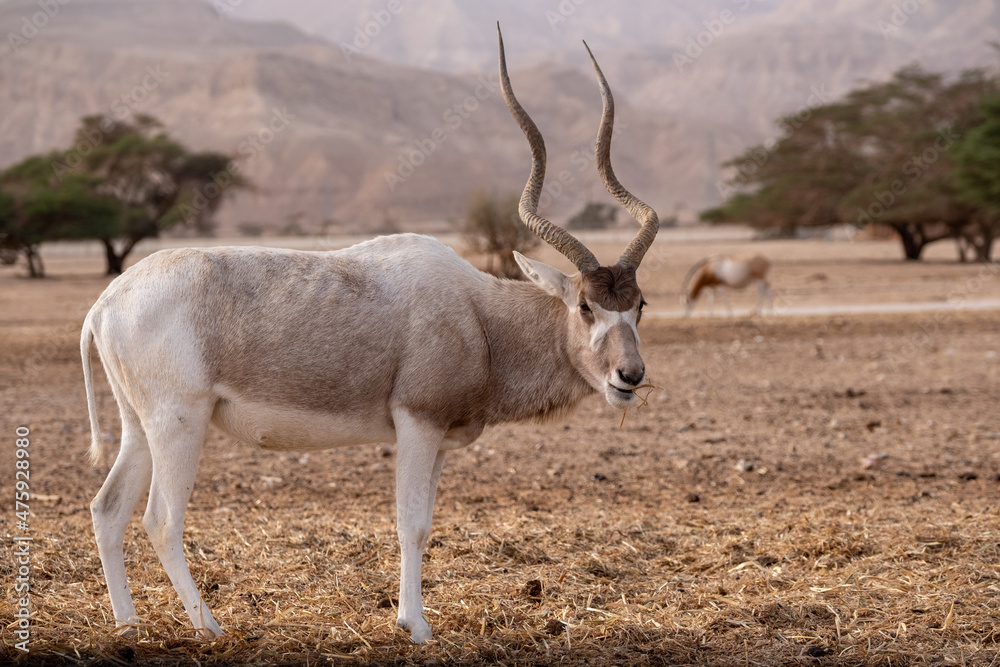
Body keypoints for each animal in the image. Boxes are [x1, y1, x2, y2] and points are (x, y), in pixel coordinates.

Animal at [80, 27, 657, 644]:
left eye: (639, 304)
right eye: (585, 306)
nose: (629, 375)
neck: (479, 315)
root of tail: (106, 302)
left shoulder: (440, 440)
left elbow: (425, 522)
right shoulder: (416, 425)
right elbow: (411, 525)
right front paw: (416, 626)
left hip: (139, 426)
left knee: (108, 508)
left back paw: (127, 625)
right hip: (180, 423)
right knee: (161, 519)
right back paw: (208, 626)